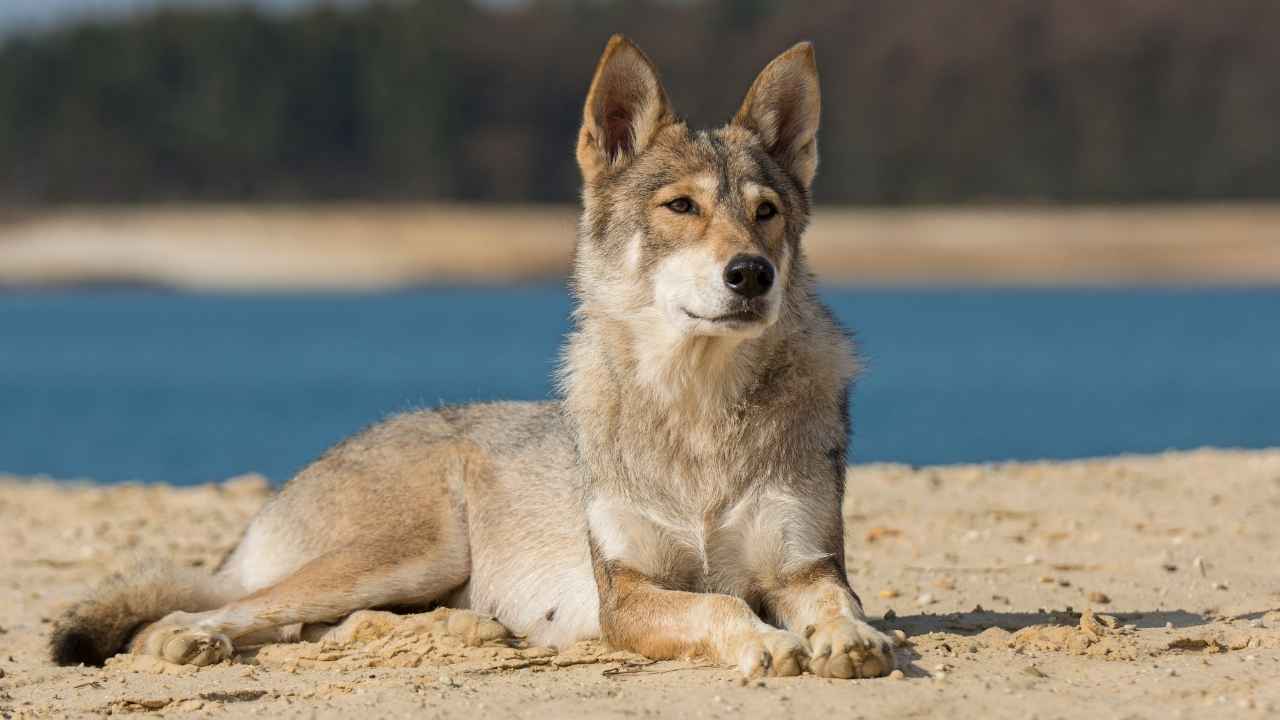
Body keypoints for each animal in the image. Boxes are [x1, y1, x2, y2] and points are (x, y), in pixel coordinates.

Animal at [50, 35, 896, 680]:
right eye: (682, 207)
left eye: (766, 213)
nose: (751, 274)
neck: (698, 410)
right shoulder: (627, 594)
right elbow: (720, 604)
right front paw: (768, 643)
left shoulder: (805, 565)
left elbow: (835, 604)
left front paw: (852, 639)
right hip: (412, 553)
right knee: (224, 610)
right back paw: (185, 637)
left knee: (325, 625)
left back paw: (473, 631)